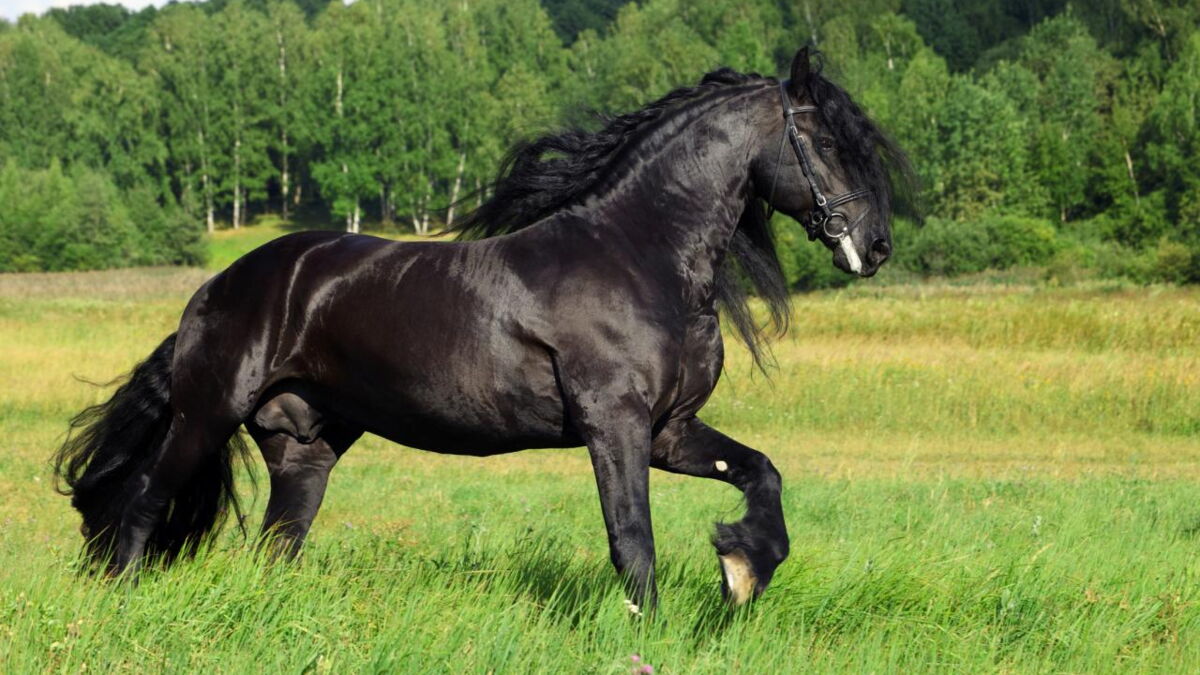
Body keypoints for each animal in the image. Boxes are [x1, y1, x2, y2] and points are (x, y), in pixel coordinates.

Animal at [53, 48, 909, 613]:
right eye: (825, 142)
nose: (875, 246)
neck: (639, 253)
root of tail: (216, 287)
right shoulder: (616, 424)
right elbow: (633, 541)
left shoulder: (671, 429)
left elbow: (762, 472)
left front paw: (742, 570)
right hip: (207, 414)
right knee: (140, 504)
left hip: (305, 446)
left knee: (277, 544)